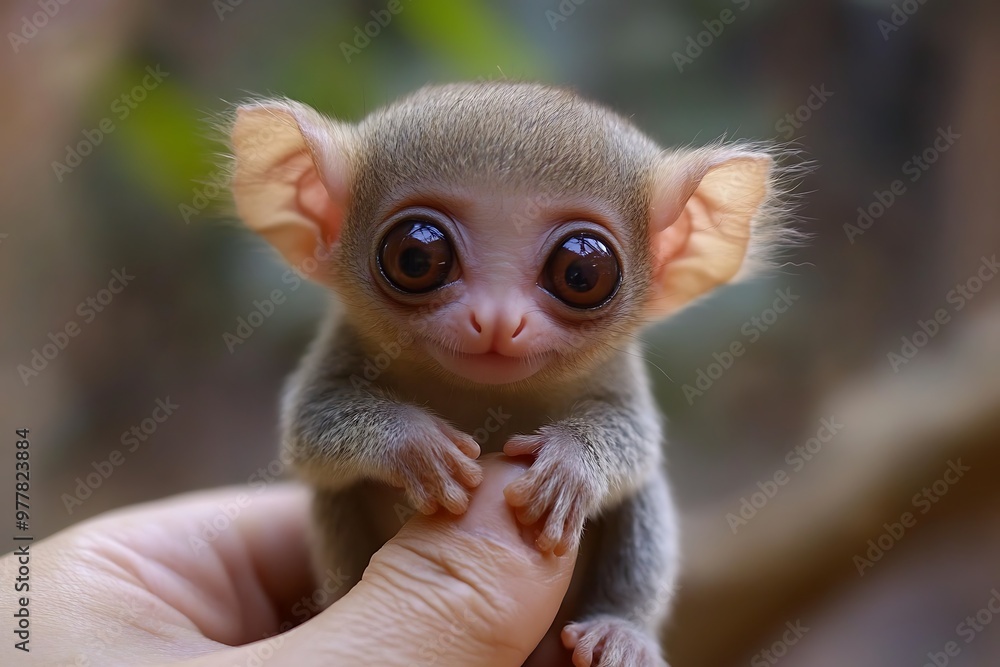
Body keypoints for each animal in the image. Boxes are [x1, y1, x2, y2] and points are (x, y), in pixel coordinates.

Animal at [226, 81, 791, 667]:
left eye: (582, 271)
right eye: (415, 256)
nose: (497, 320)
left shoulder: (618, 370)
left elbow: (637, 440)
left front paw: (568, 466)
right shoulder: (345, 341)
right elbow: (307, 431)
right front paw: (416, 447)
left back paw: (621, 632)